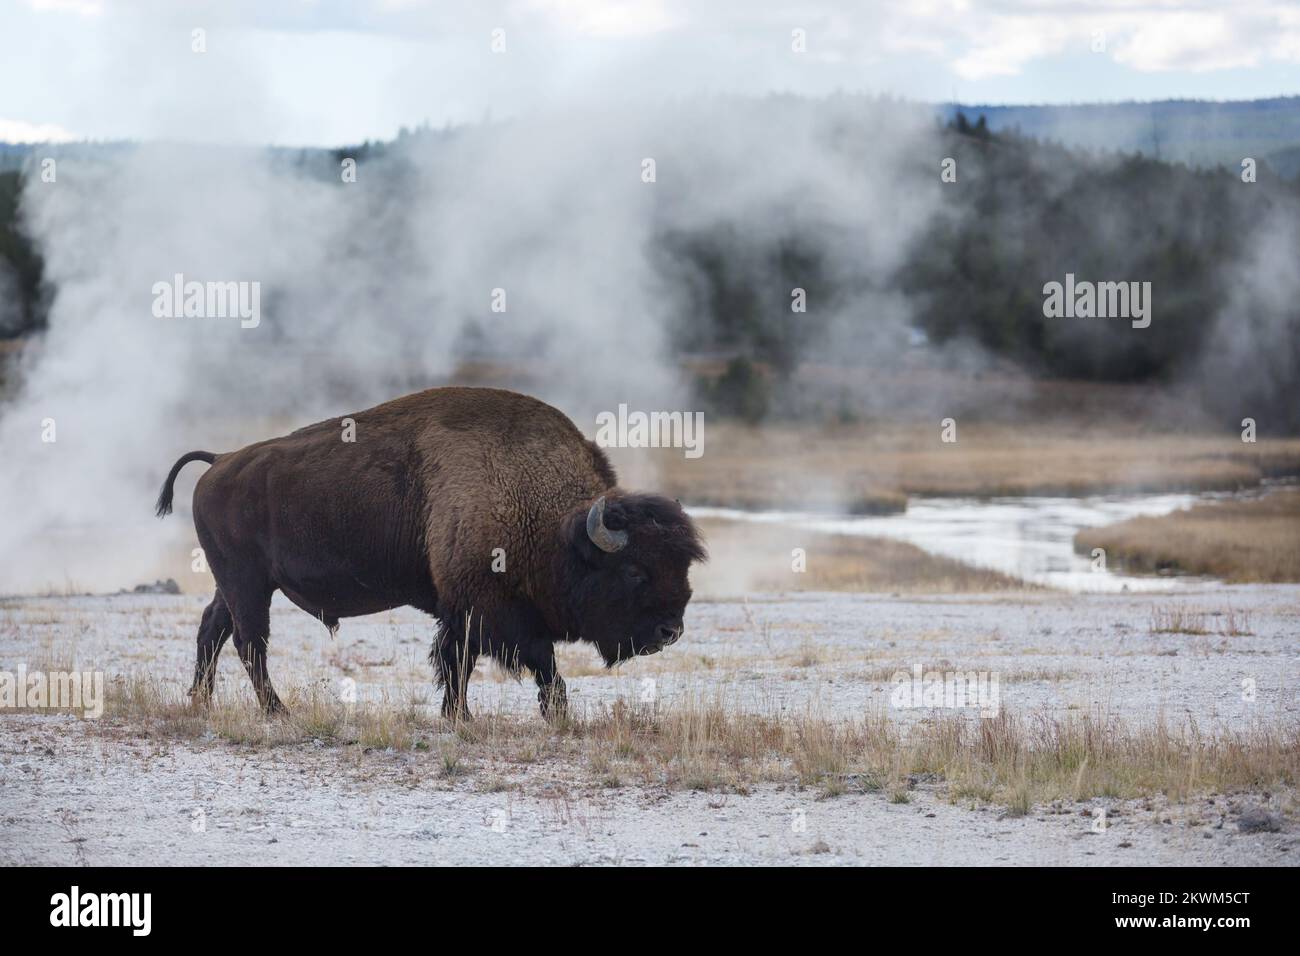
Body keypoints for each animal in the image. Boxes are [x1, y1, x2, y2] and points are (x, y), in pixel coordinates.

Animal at [155, 387, 706, 718]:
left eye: (680, 565)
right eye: (634, 570)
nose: (670, 631)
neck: (554, 524)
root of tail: (220, 460)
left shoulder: (465, 610)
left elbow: (464, 662)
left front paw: (463, 715)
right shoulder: (487, 609)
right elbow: (517, 662)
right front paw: (485, 715)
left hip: (235, 584)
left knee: (213, 629)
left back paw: (203, 702)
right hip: (248, 584)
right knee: (250, 642)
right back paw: (277, 711)